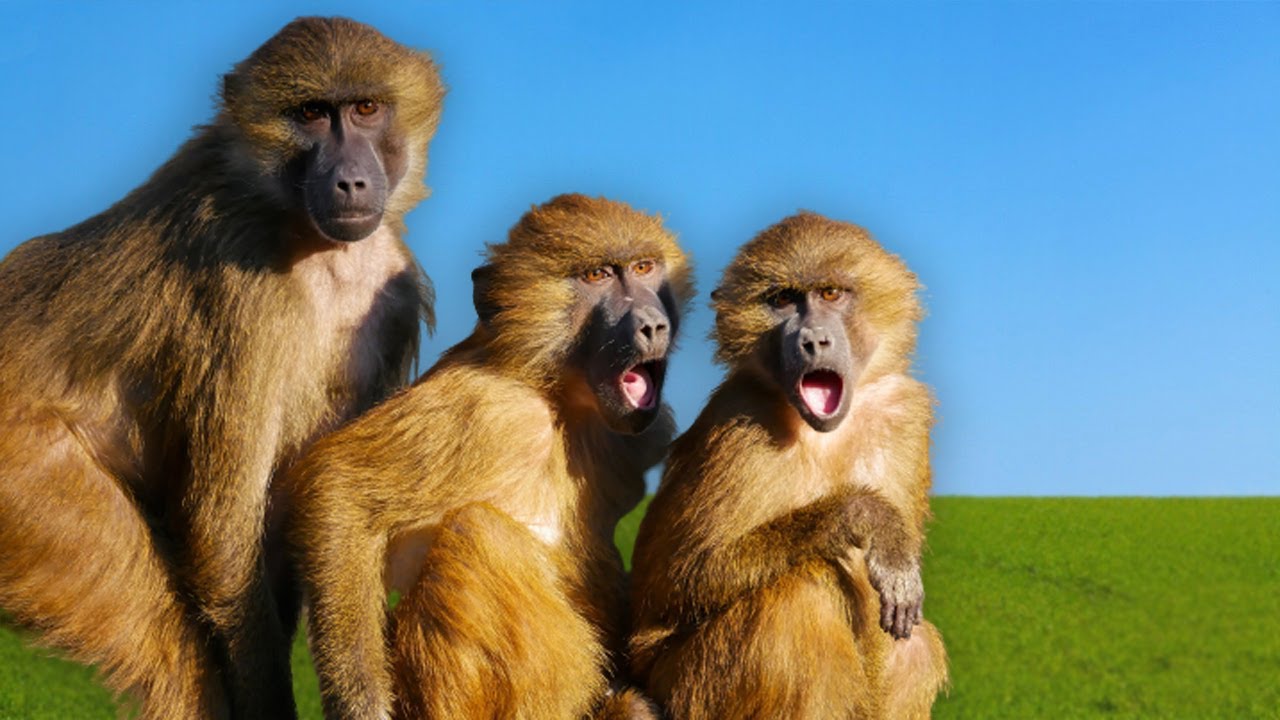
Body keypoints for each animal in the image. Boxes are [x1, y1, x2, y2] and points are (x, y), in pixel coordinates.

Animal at [0, 17, 444, 719]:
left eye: (366, 109)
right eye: (311, 114)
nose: (349, 181)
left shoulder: (392, 298)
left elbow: (321, 502)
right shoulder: (243, 290)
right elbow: (224, 530)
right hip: (26, 478)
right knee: (173, 660)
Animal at [286, 193, 693, 720]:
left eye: (644, 267)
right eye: (597, 275)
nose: (652, 324)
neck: (559, 398)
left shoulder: (640, 434)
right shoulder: (488, 408)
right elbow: (340, 485)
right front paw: (363, 705)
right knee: (476, 534)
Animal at [627, 212, 949, 719]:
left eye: (831, 293)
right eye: (782, 300)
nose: (813, 340)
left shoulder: (904, 413)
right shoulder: (739, 422)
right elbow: (678, 578)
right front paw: (867, 517)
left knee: (913, 647)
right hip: (686, 686)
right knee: (797, 598)